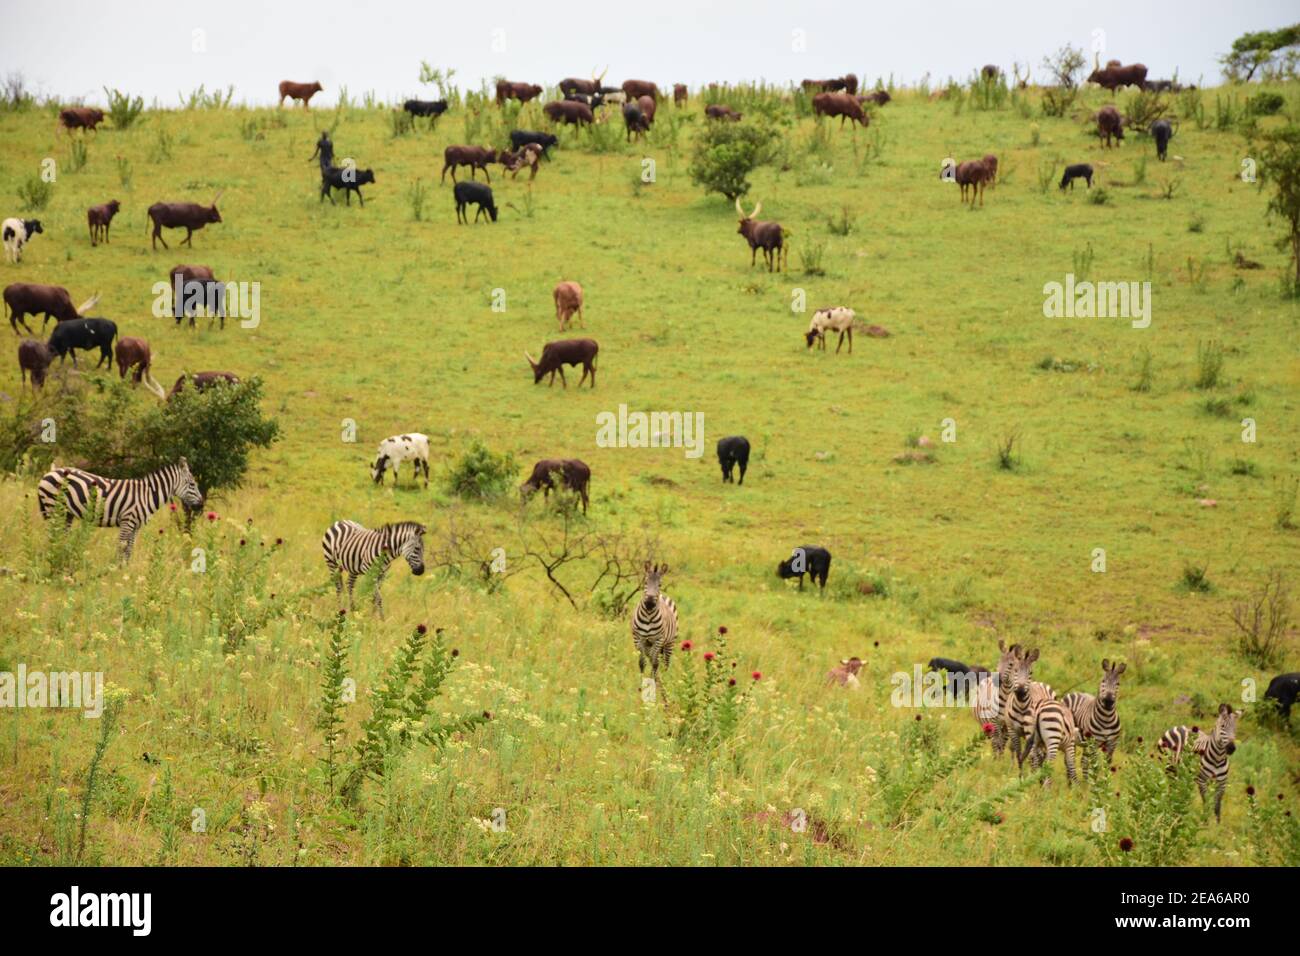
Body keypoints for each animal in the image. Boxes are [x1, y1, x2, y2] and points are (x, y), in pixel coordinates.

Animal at [36, 458, 203, 561]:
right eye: (192, 484)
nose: (201, 504)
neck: (147, 495)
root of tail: (49, 472)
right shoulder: (127, 521)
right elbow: (121, 548)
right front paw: (115, 571)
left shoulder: (136, 526)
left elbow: (129, 549)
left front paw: (125, 571)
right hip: (53, 508)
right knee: (52, 537)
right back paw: (54, 557)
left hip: (66, 514)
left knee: (60, 537)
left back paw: (62, 556)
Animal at [631, 562, 678, 700]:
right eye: (645, 582)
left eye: (660, 585)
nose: (650, 603)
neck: (648, 615)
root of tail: (663, 596)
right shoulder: (638, 639)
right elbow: (642, 663)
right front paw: (641, 686)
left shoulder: (658, 640)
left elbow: (654, 664)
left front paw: (651, 686)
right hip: (649, 645)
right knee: (654, 661)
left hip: (668, 643)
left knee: (664, 663)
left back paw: (663, 683)